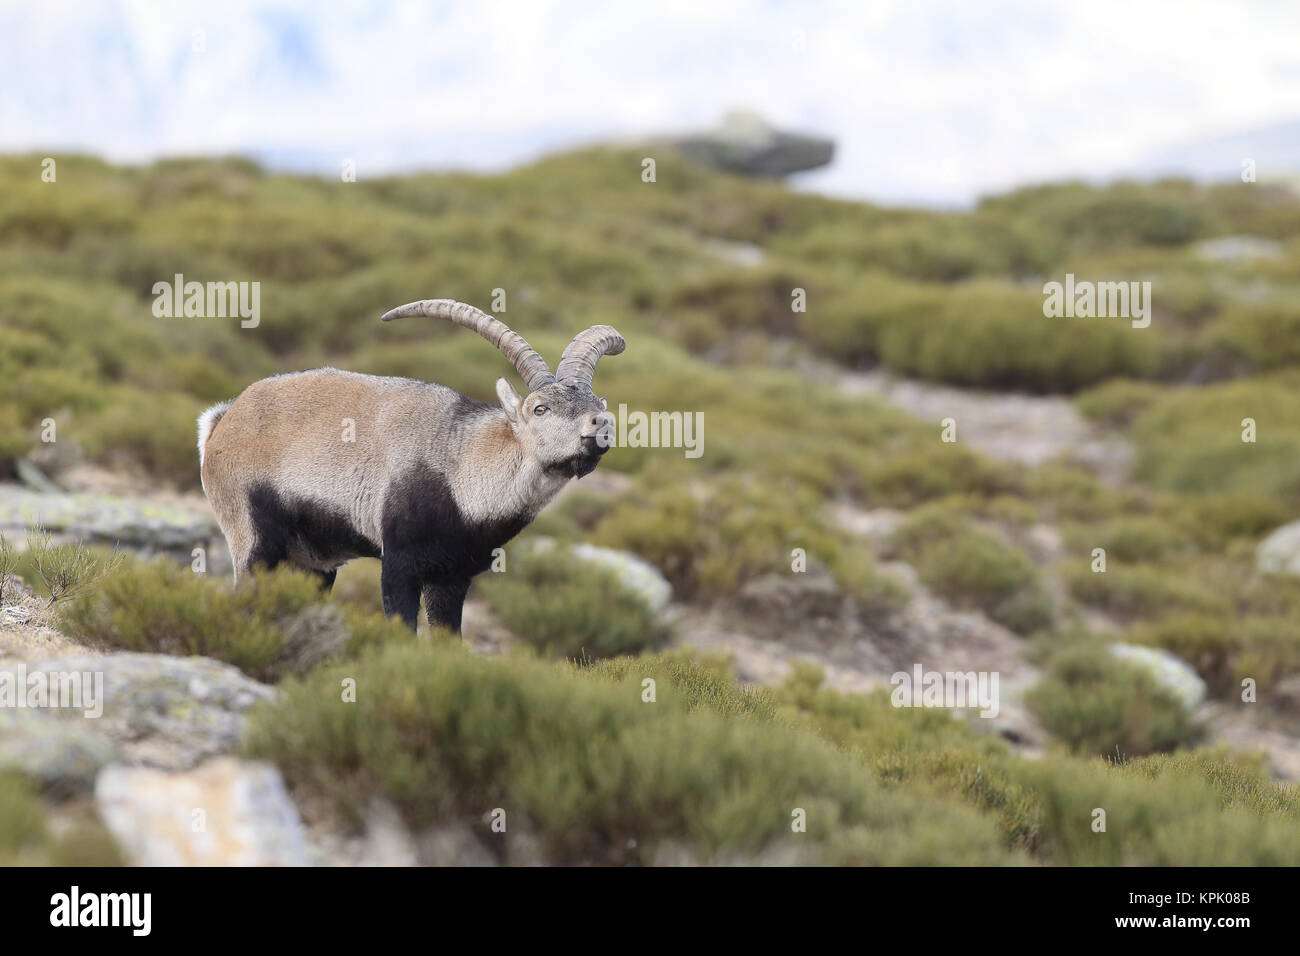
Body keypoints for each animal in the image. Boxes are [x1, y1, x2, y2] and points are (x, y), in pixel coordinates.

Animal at [197, 299, 623, 631]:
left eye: (596, 402)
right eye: (540, 408)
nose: (601, 424)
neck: (460, 466)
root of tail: (221, 423)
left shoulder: (452, 577)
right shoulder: (399, 563)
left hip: (313, 562)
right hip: (253, 540)